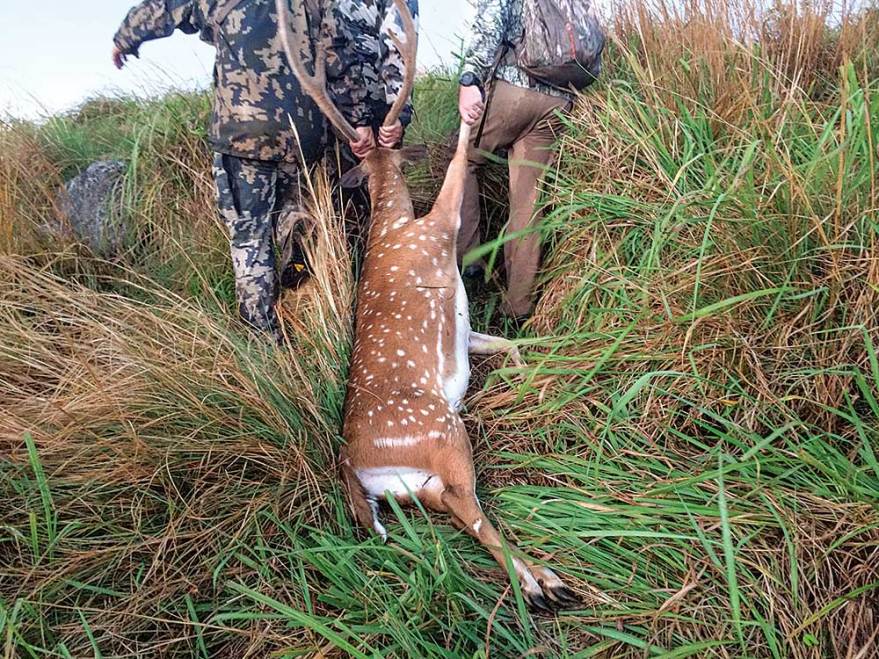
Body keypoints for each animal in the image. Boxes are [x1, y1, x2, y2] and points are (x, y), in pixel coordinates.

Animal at [277, 0, 577, 611]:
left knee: (456, 508)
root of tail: (351, 465)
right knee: (473, 507)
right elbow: (459, 166)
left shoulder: (466, 335)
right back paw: (544, 584)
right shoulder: (439, 228)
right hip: (440, 430)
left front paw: (526, 375)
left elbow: (508, 342)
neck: (397, 226)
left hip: (417, 486)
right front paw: (470, 105)